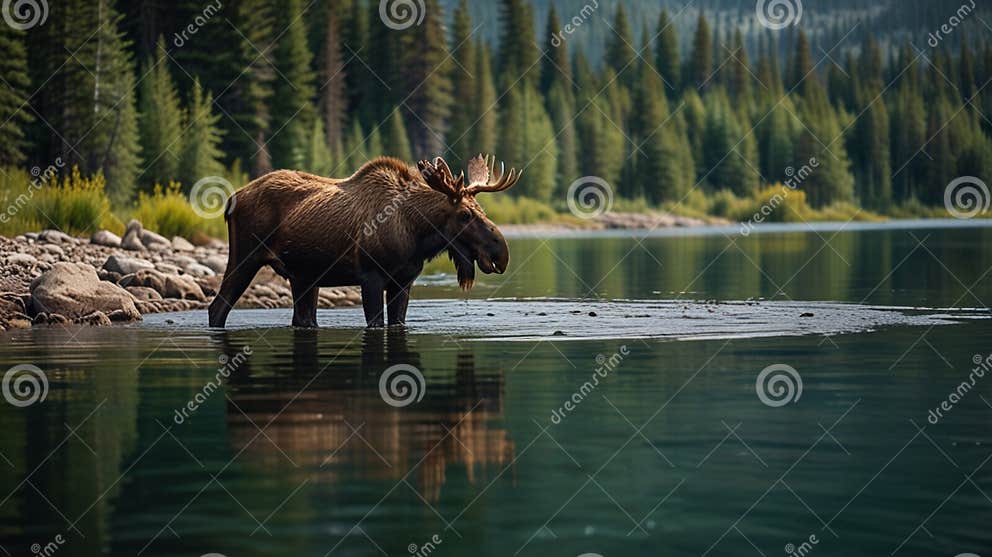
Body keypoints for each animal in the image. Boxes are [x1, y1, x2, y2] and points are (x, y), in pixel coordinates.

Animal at [207, 154, 521, 328]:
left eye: (482, 209)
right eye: (465, 214)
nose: (501, 253)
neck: (416, 234)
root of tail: (230, 200)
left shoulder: (403, 280)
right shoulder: (371, 276)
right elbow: (375, 322)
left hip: (304, 278)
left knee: (303, 319)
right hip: (245, 258)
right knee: (217, 307)